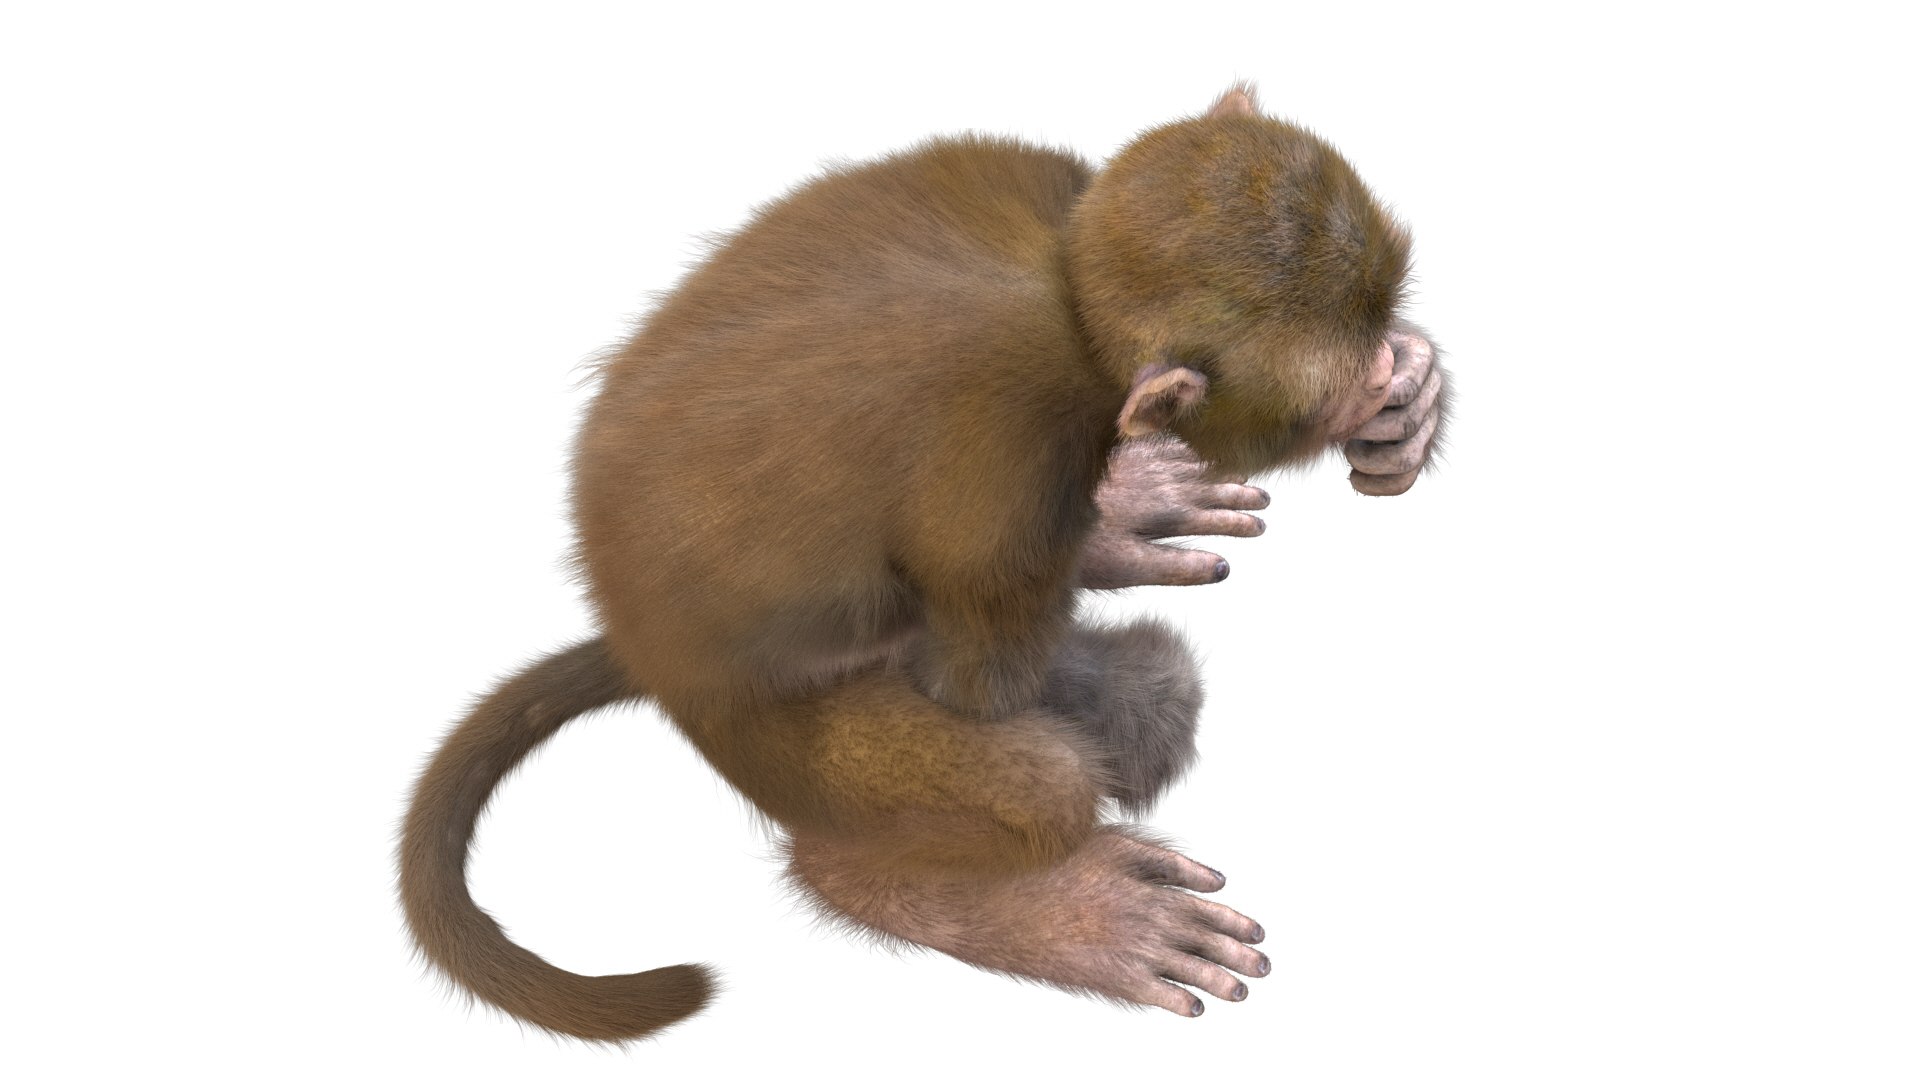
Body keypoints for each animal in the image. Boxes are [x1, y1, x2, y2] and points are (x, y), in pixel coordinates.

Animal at [399, 84, 1449, 1041]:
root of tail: (637, 646)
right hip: (773, 738)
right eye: (1333, 402)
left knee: (1149, 694)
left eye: (1385, 301)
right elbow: (975, 686)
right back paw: (968, 895)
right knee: (1031, 777)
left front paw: (1417, 392)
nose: (1384, 372)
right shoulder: (1008, 456)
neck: (1070, 298)